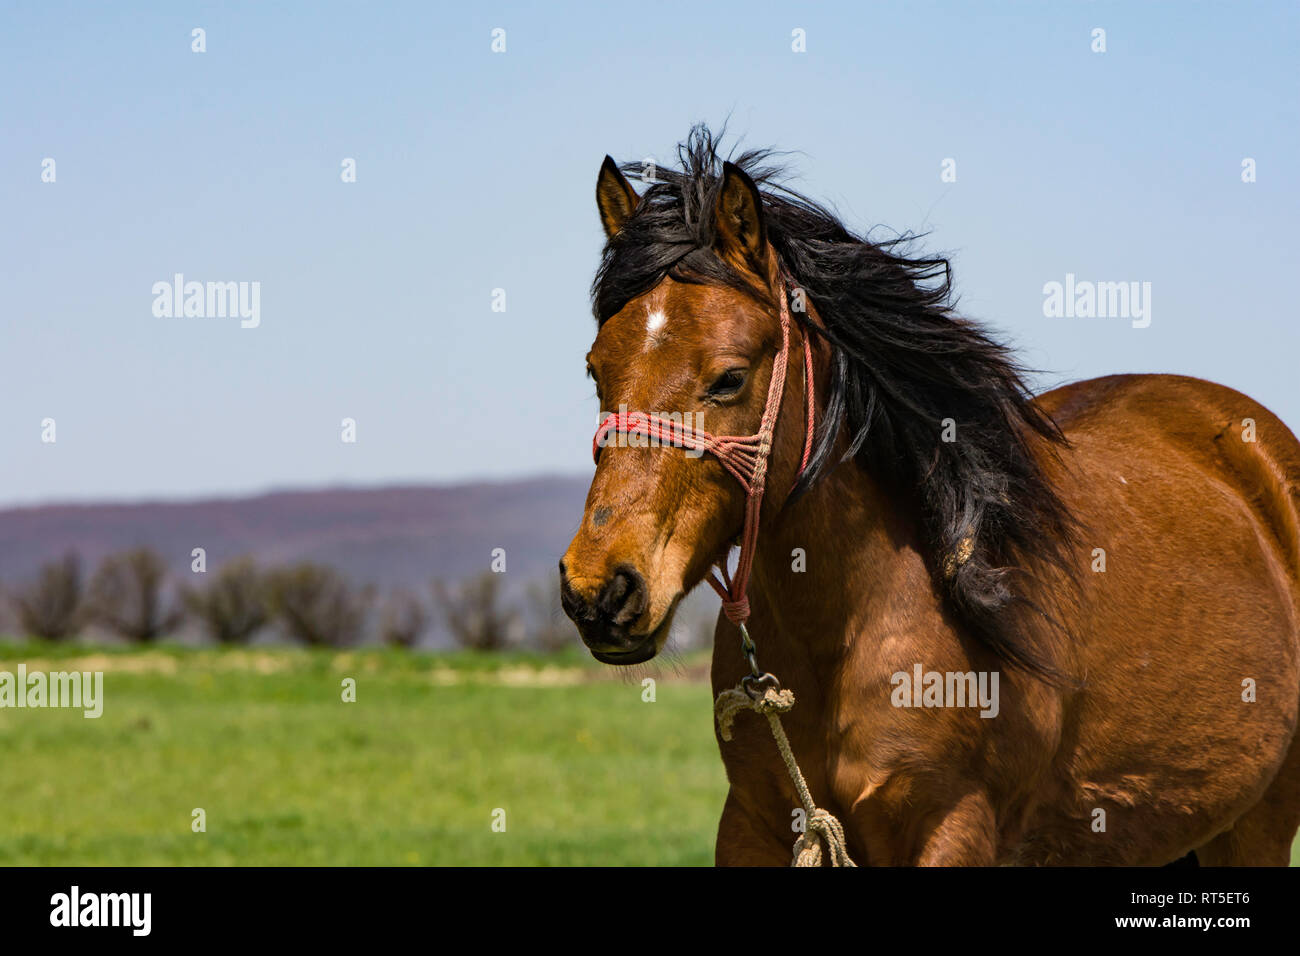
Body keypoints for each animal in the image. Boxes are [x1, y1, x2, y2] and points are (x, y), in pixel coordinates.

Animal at [559, 126, 1300, 866]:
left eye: (730, 378)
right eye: (597, 370)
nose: (600, 589)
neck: (852, 630)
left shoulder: (954, 826)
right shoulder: (752, 825)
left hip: (1256, 823)